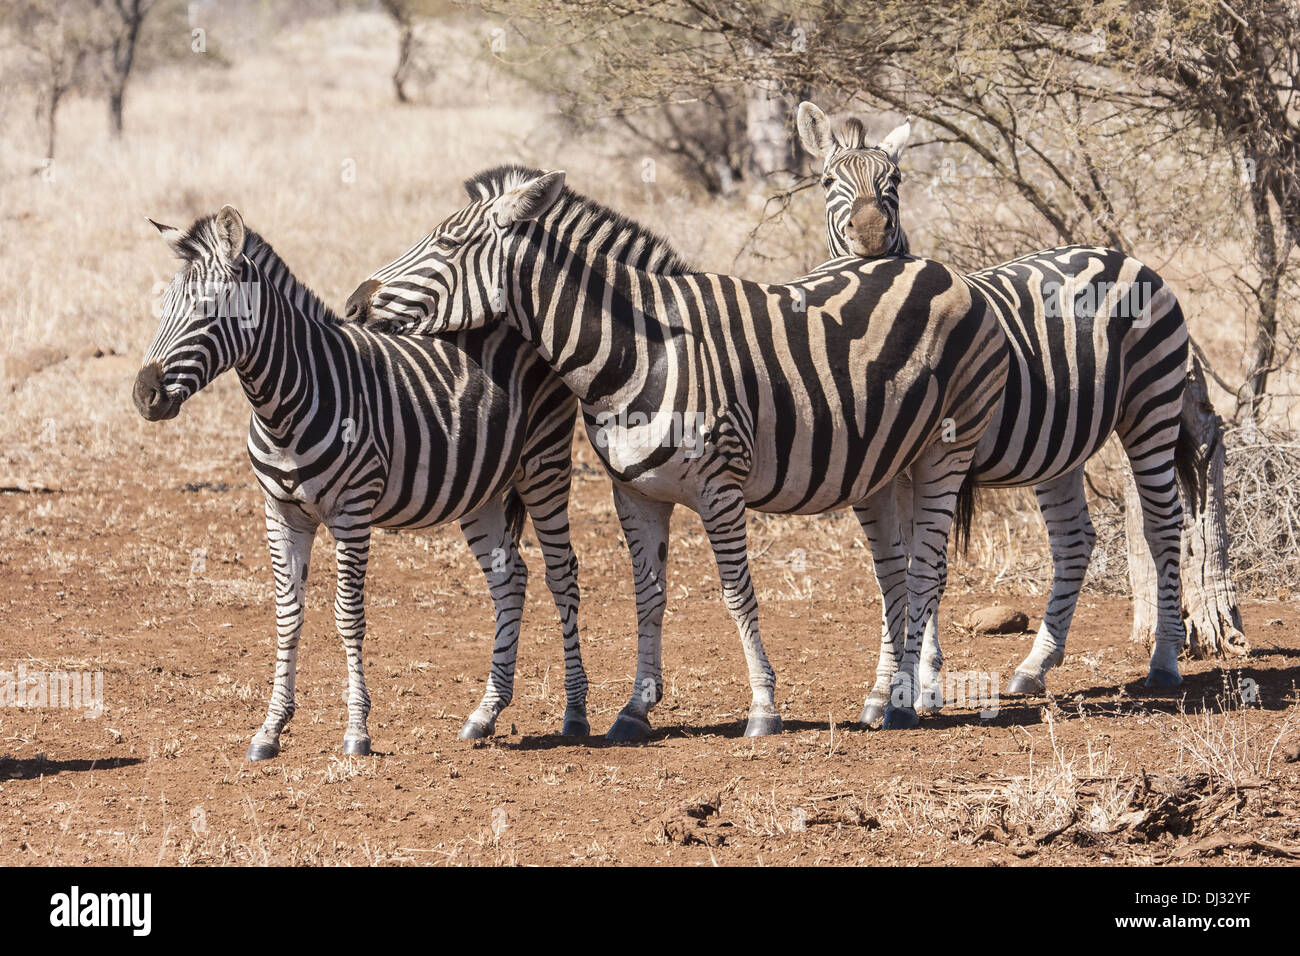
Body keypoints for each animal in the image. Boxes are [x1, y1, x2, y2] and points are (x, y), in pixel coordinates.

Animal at [132, 205, 589, 759]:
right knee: (511, 580)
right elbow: (288, 613)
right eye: (164, 308)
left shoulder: (352, 511)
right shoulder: (280, 512)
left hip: (545, 463)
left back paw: (576, 713)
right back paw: (486, 714)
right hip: (480, 490)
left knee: (562, 574)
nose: (144, 395)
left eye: (208, 310)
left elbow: (348, 615)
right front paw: (270, 728)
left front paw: (356, 730)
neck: (284, 405)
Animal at [345, 165, 1010, 736]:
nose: (353, 303)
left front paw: (763, 707)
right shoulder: (634, 493)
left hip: (947, 449)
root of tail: (940, 268)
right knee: (895, 571)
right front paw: (635, 709)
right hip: (885, 464)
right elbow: (648, 596)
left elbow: (737, 593)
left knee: (925, 568)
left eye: (449, 243)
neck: (638, 350)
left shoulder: (721, 487)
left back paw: (904, 703)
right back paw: (881, 696)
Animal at [798, 101, 1210, 711]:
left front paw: (922, 683)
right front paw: (912, 678)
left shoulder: (938, 455)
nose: (871, 233)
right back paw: (1035, 667)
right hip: (1062, 442)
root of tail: (1121, 254)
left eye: (895, 181)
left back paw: (1164, 661)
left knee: (1163, 526)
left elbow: (930, 565)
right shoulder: (897, 466)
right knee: (1074, 541)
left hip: (1151, 409)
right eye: (828, 181)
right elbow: (906, 564)